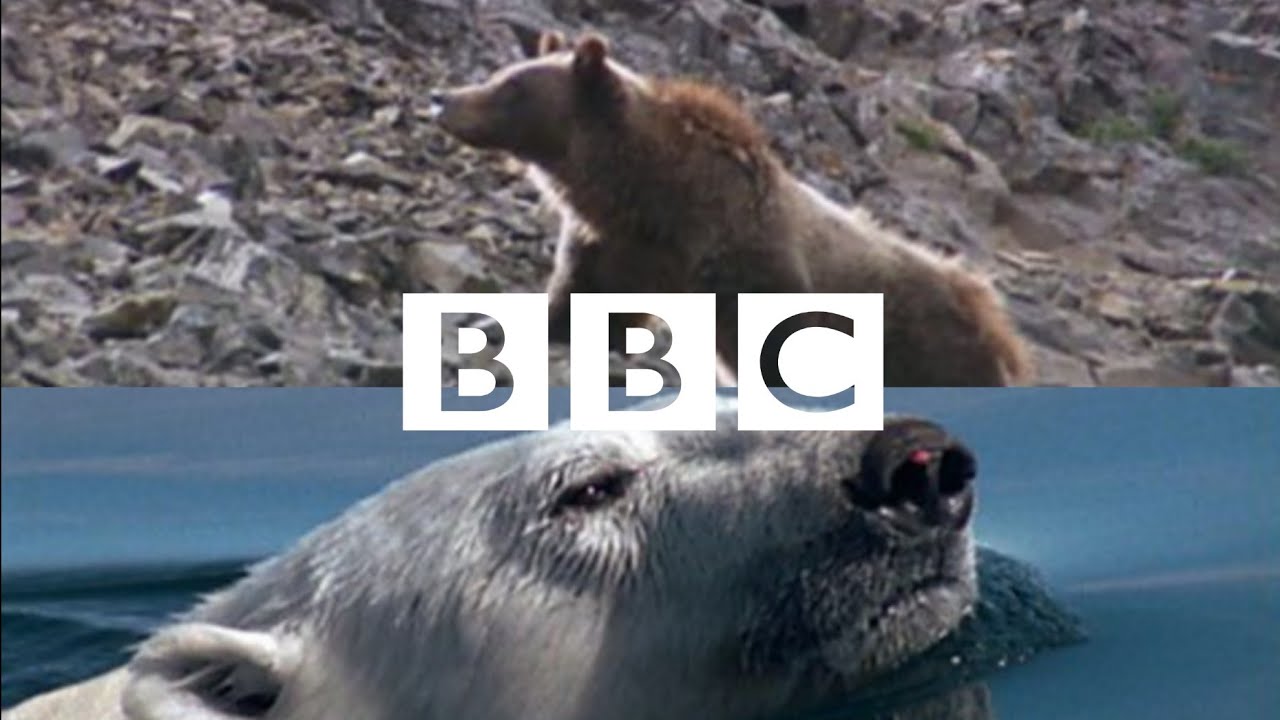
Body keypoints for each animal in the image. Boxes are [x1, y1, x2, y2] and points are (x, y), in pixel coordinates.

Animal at [430, 32, 1034, 387]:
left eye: (511, 86)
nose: (444, 98)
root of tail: (993, 317)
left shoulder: (747, 257)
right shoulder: (614, 246)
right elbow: (579, 303)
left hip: (928, 346)